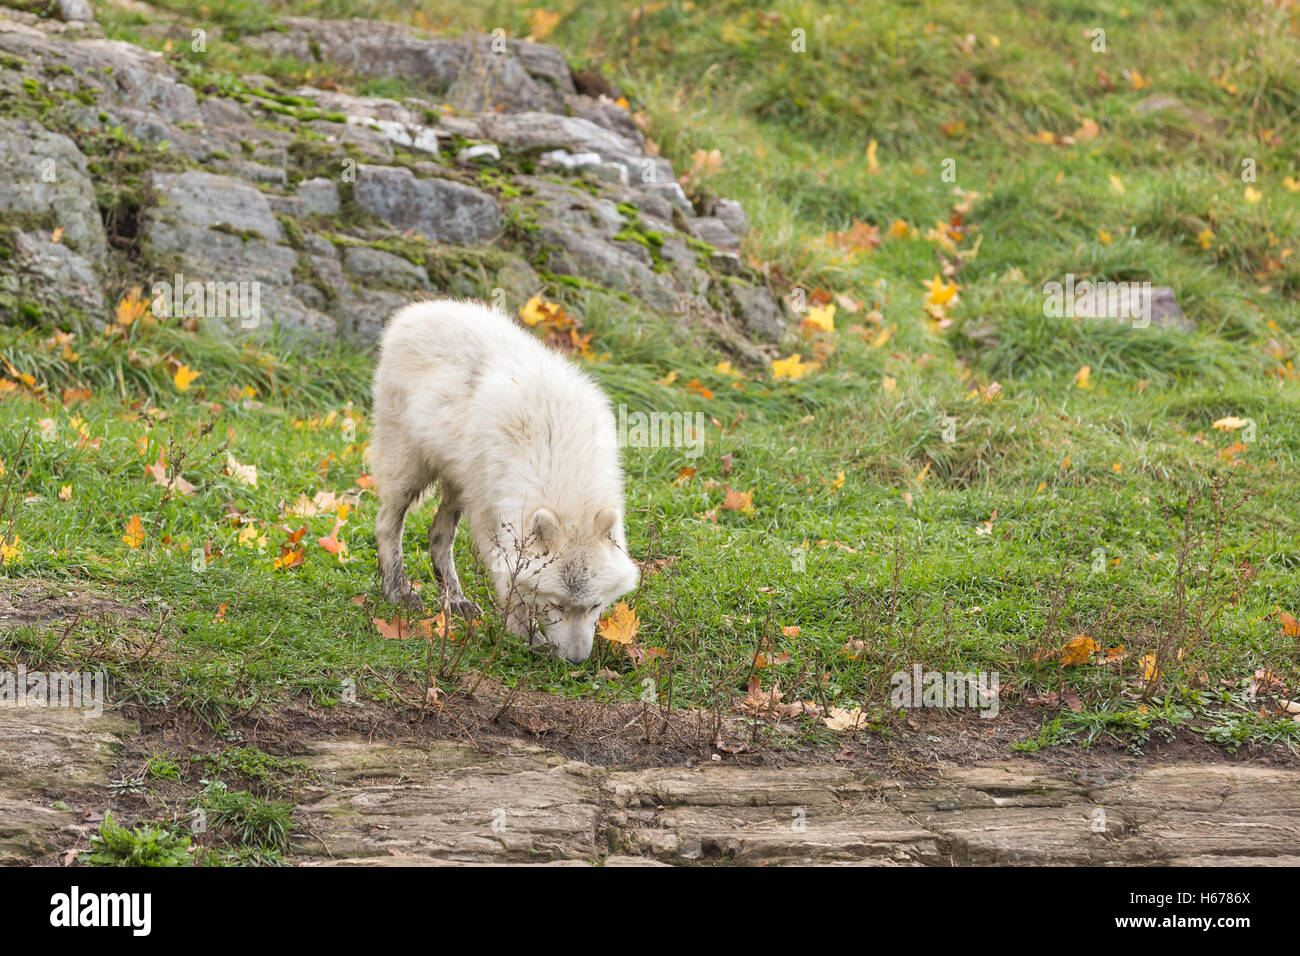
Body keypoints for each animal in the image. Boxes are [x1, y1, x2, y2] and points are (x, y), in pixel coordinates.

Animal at [369, 298, 640, 664]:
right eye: (556, 605)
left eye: (594, 606)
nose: (576, 660)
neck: (553, 448)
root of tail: (416, 311)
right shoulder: (491, 515)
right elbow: (510, 582)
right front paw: (526, 637)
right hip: (410, 472)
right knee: (386, 525)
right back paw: (398, 591)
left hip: (460, 486)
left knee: (437, 534)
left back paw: (454, 600)